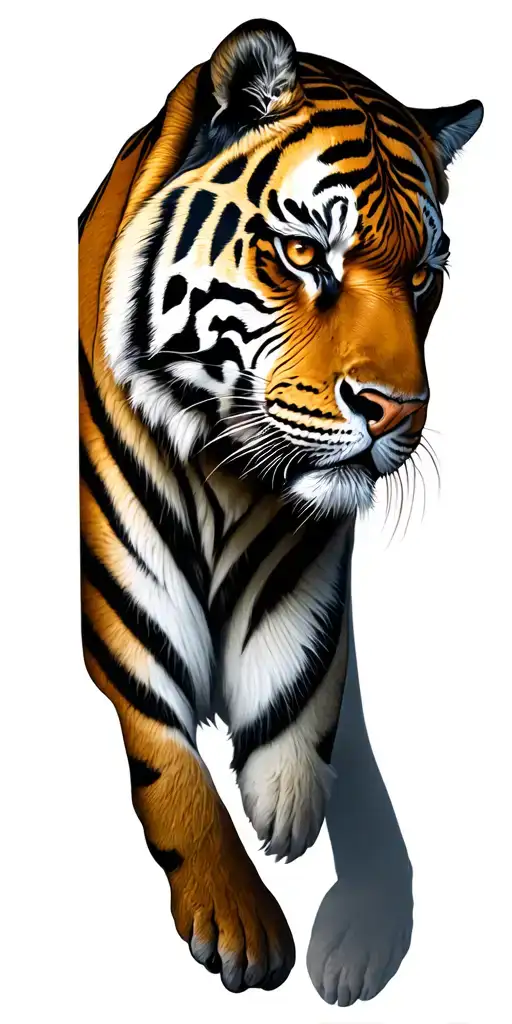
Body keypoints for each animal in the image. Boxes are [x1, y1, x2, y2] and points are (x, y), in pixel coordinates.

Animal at [79, 18, 483, 1006]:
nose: (396, 413)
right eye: (305, 255)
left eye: (425, 275)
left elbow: (314, 717)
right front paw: (239, 921)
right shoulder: (128, 609)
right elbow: (171, 763)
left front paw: (303, 829)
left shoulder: (306, 587)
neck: (225, 475)